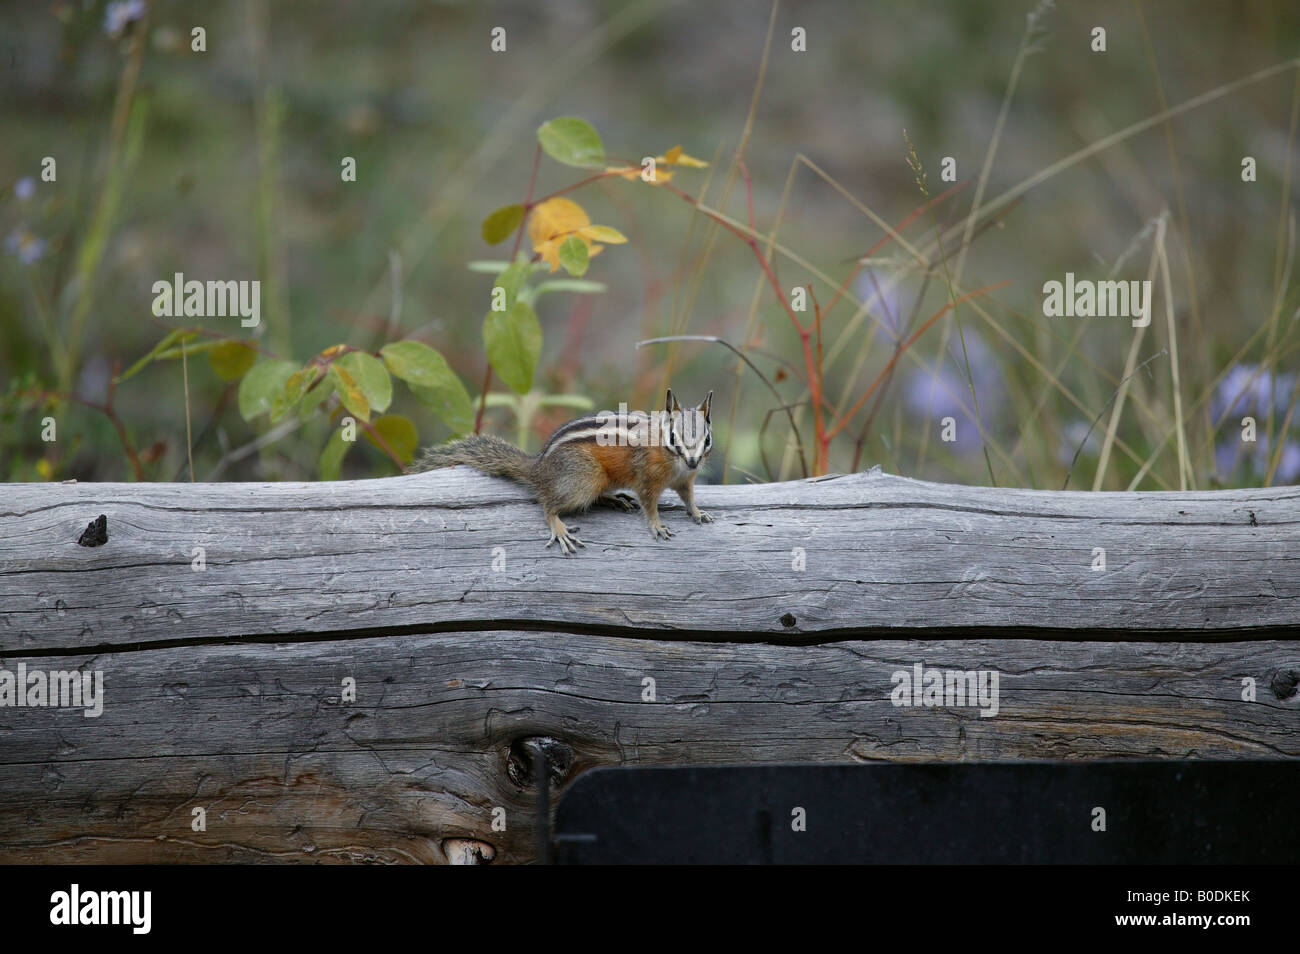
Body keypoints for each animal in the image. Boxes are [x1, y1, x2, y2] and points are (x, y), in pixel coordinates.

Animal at [410, 389, 714, 554]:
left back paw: (613, 498)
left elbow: (689, 498)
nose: (692, 461)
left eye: (707, 439)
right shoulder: (646, 480)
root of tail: (538, 467)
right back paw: (559, 527)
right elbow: (649, 505)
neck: (674, 463)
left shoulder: (686, 480)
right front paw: (657, 525)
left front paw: (698, 512)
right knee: (547, 505)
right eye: (673, 438)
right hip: (584, 478)